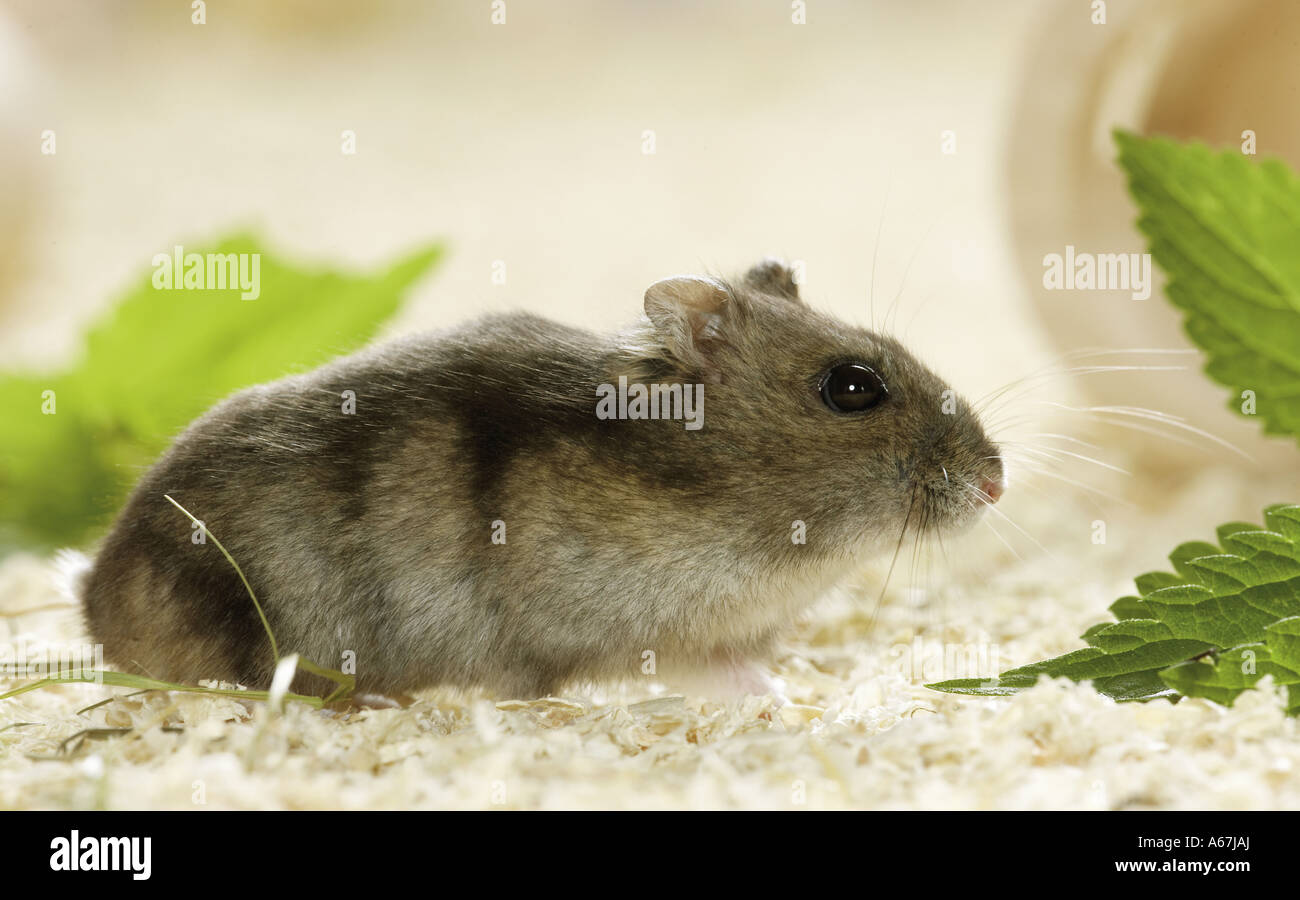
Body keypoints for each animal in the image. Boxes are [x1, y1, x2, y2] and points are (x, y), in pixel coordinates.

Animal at [80, 259, 1004, 699]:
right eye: (851, 388)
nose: (996, 484)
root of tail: (90, 595)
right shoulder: (642, 631)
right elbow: (714, 673)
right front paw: (778, 697)